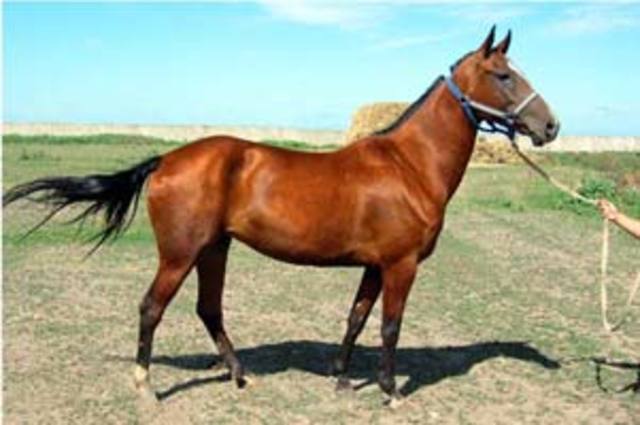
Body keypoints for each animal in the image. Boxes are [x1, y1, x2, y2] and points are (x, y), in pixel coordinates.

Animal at [3, 26, 560, 403]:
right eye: (503, 75)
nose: (550, 126)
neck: (409, 165)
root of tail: (166, 159)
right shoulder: (400, 265)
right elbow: (389, 326)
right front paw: (389, 390)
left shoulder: (374, 265)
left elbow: (357, 318)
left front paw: (341, 378)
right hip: (179, 254)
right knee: (151, 308)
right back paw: (145, 386)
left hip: (214, 249)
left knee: (209, 309)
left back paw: (238, 375)